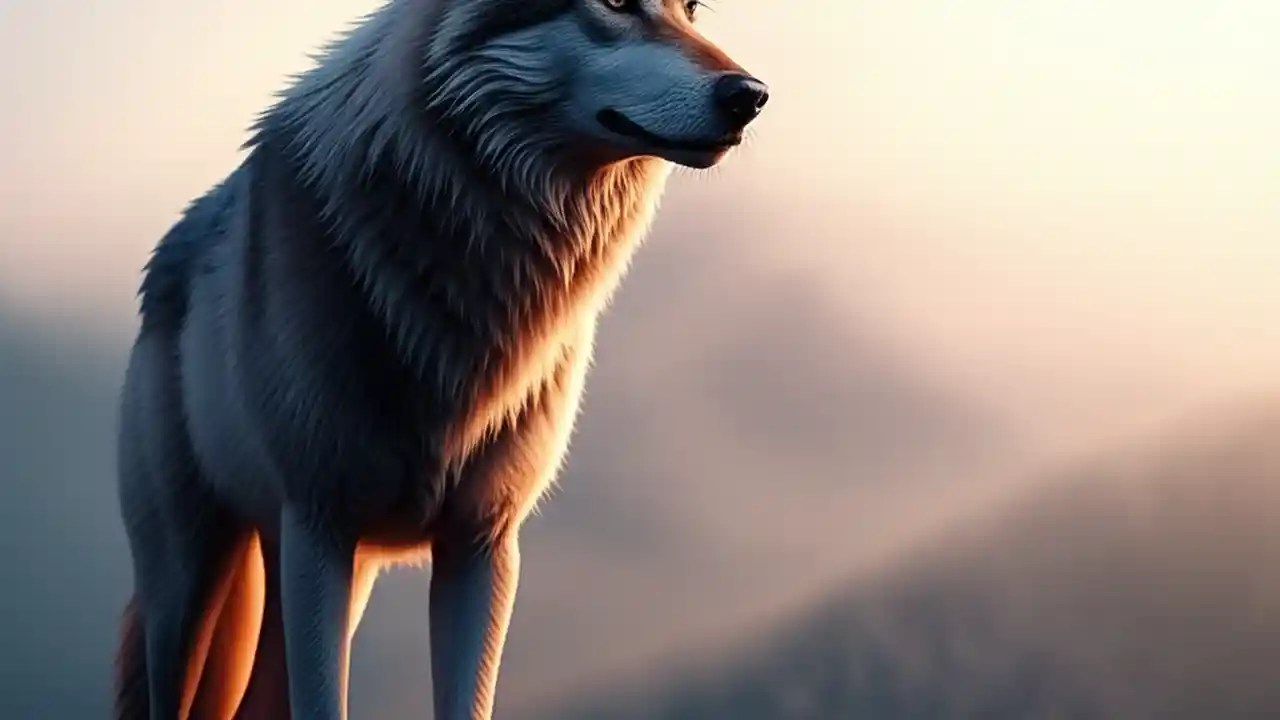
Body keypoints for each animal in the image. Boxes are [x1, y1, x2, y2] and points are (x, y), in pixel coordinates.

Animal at [114, 0, 767, 718]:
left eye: (691, 12)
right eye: (617, 7)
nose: (750, 95)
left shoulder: (482, 546)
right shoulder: (319, 526)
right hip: (191, 581)